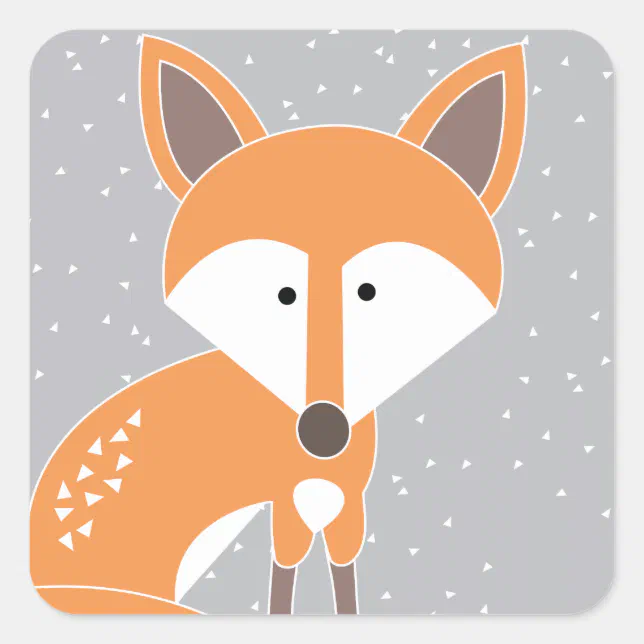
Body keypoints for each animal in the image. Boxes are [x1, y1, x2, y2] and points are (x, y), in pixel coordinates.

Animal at [30, 35, 527, 615]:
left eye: (369, 290)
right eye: (283, 294)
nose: (323, 430)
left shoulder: (342, 501)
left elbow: (341, 572)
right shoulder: (291, 502)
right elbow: (285, 574)